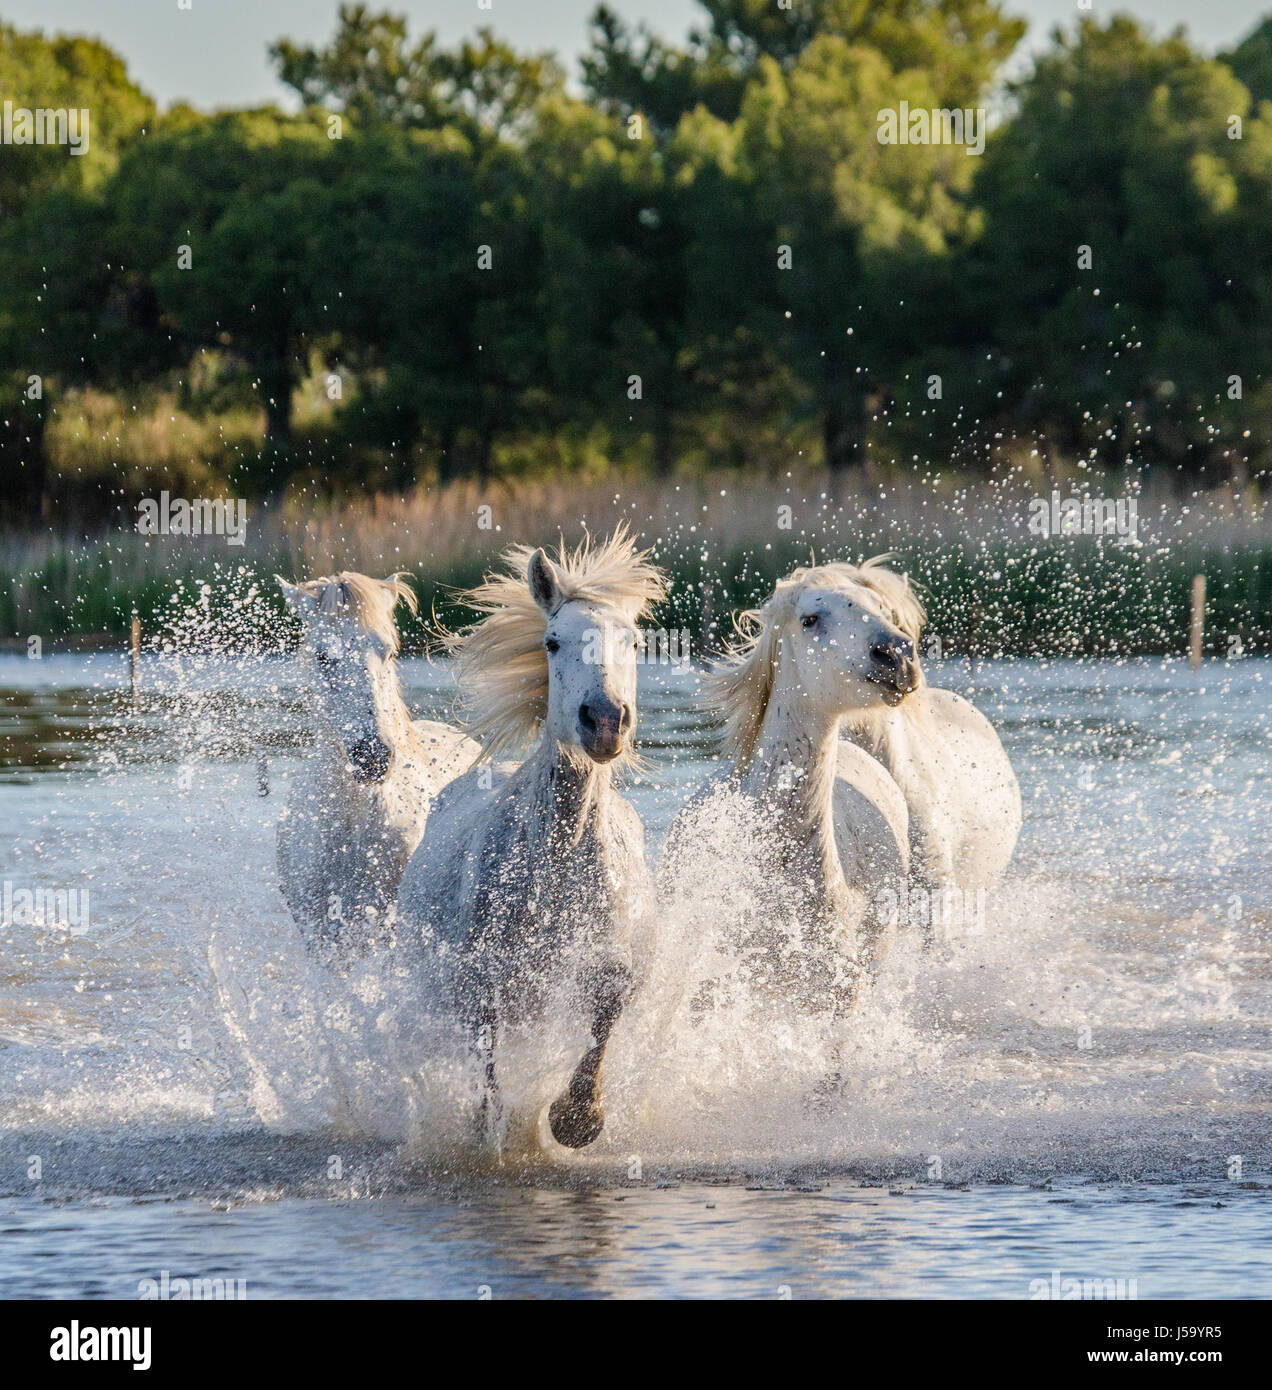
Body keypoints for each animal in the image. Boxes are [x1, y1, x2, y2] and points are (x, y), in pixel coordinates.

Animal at [395, 530, 667, 1151]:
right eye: (552, 641)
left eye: (634, 641)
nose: (604, 720)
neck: (555, 863)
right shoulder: (477, 981)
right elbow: (487, 1073)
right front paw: (491, 1132)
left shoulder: (613, 961)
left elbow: (608, 1005)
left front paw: (578, 1117)